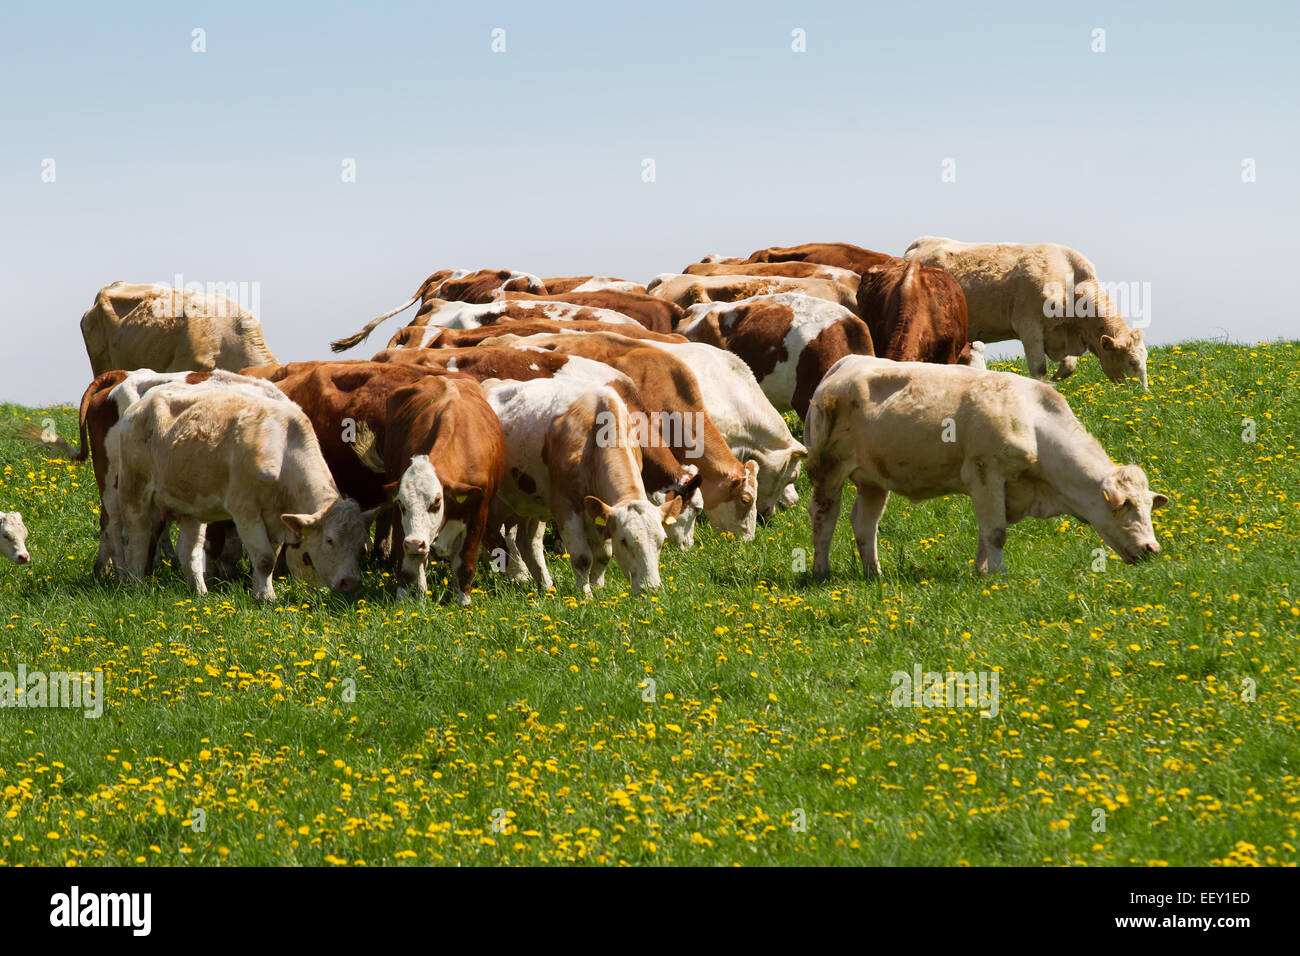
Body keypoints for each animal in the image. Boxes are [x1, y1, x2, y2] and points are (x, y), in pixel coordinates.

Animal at [110, 383, 380, 600]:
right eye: (330, 540)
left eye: (360, 544)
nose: (350, 582)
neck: (283, 449)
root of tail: (138, 406)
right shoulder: (245, 511)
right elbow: (265, 558)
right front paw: (266, 597)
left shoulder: (275, 519)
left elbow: (269, 558)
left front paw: (262, 593)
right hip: (134, 490)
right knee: (138, 538)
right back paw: (136, 585)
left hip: (190, 506)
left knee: (191, 553)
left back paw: (200, 592)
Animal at [348, 375, 505, 605]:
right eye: (402, 503)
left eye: (436, 502)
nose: (414, 544)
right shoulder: (400, 518)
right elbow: (406, 567)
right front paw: (403, 604)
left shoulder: (478, 513)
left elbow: (465, 565)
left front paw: (464, 604)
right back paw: (422, 598)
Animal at [483, 377, 684, 597]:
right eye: (624, 540)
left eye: (661, 541)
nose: (652, 589)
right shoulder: (564, 506)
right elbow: (582, 557)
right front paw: (586, 595)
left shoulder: (599, 510)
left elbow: (604, 554)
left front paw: (598, 587)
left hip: (531, 503)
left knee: (528, 543)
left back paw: (546, 586)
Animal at [805, 356, 1168, 579]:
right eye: (1124, 506)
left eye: (1149, 506)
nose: (1152, 549)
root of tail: (846, 363)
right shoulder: (984, 474)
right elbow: (995, 532)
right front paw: (998, 574)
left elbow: (985, 530)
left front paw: (981, 573)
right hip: (828, 467)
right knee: (824, 516)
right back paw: (821, 571)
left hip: (873, 480)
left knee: (865, 525)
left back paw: (875, 574)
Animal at [904, 237, 1148, 386]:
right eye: (1131, 362)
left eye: (1145, 359)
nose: (1141, 393)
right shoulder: (1030, 327)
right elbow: (1039, 368)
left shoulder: (1062, 332)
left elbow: (1069, 366)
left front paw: (1055, 382)